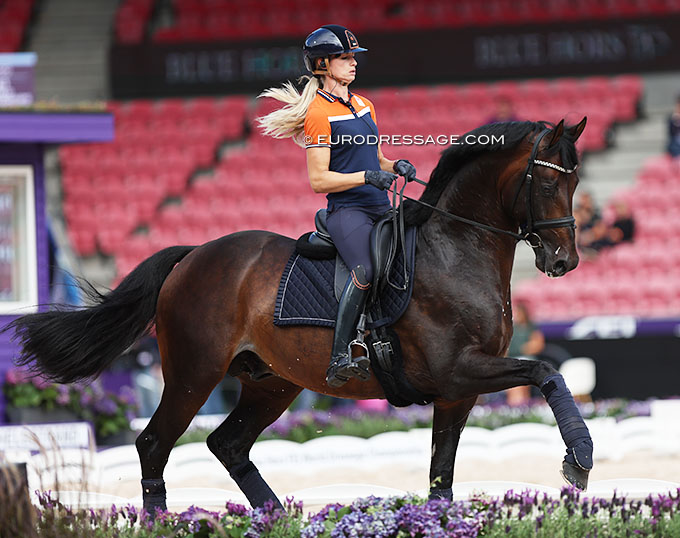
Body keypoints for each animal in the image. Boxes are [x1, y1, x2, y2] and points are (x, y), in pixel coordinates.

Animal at [8, 118, 593, 516]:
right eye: (546, 183)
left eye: (576, 182)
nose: (564, 261)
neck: (455, 248)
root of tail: (194, 254)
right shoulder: (458, 371)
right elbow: (546, 371)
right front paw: (579, 458)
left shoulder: (457, 391)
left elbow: (440, 477)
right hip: (195, 374)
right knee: (154, 444)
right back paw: (165, 522)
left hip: (271, 383)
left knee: (227, 444)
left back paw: (275, 518)